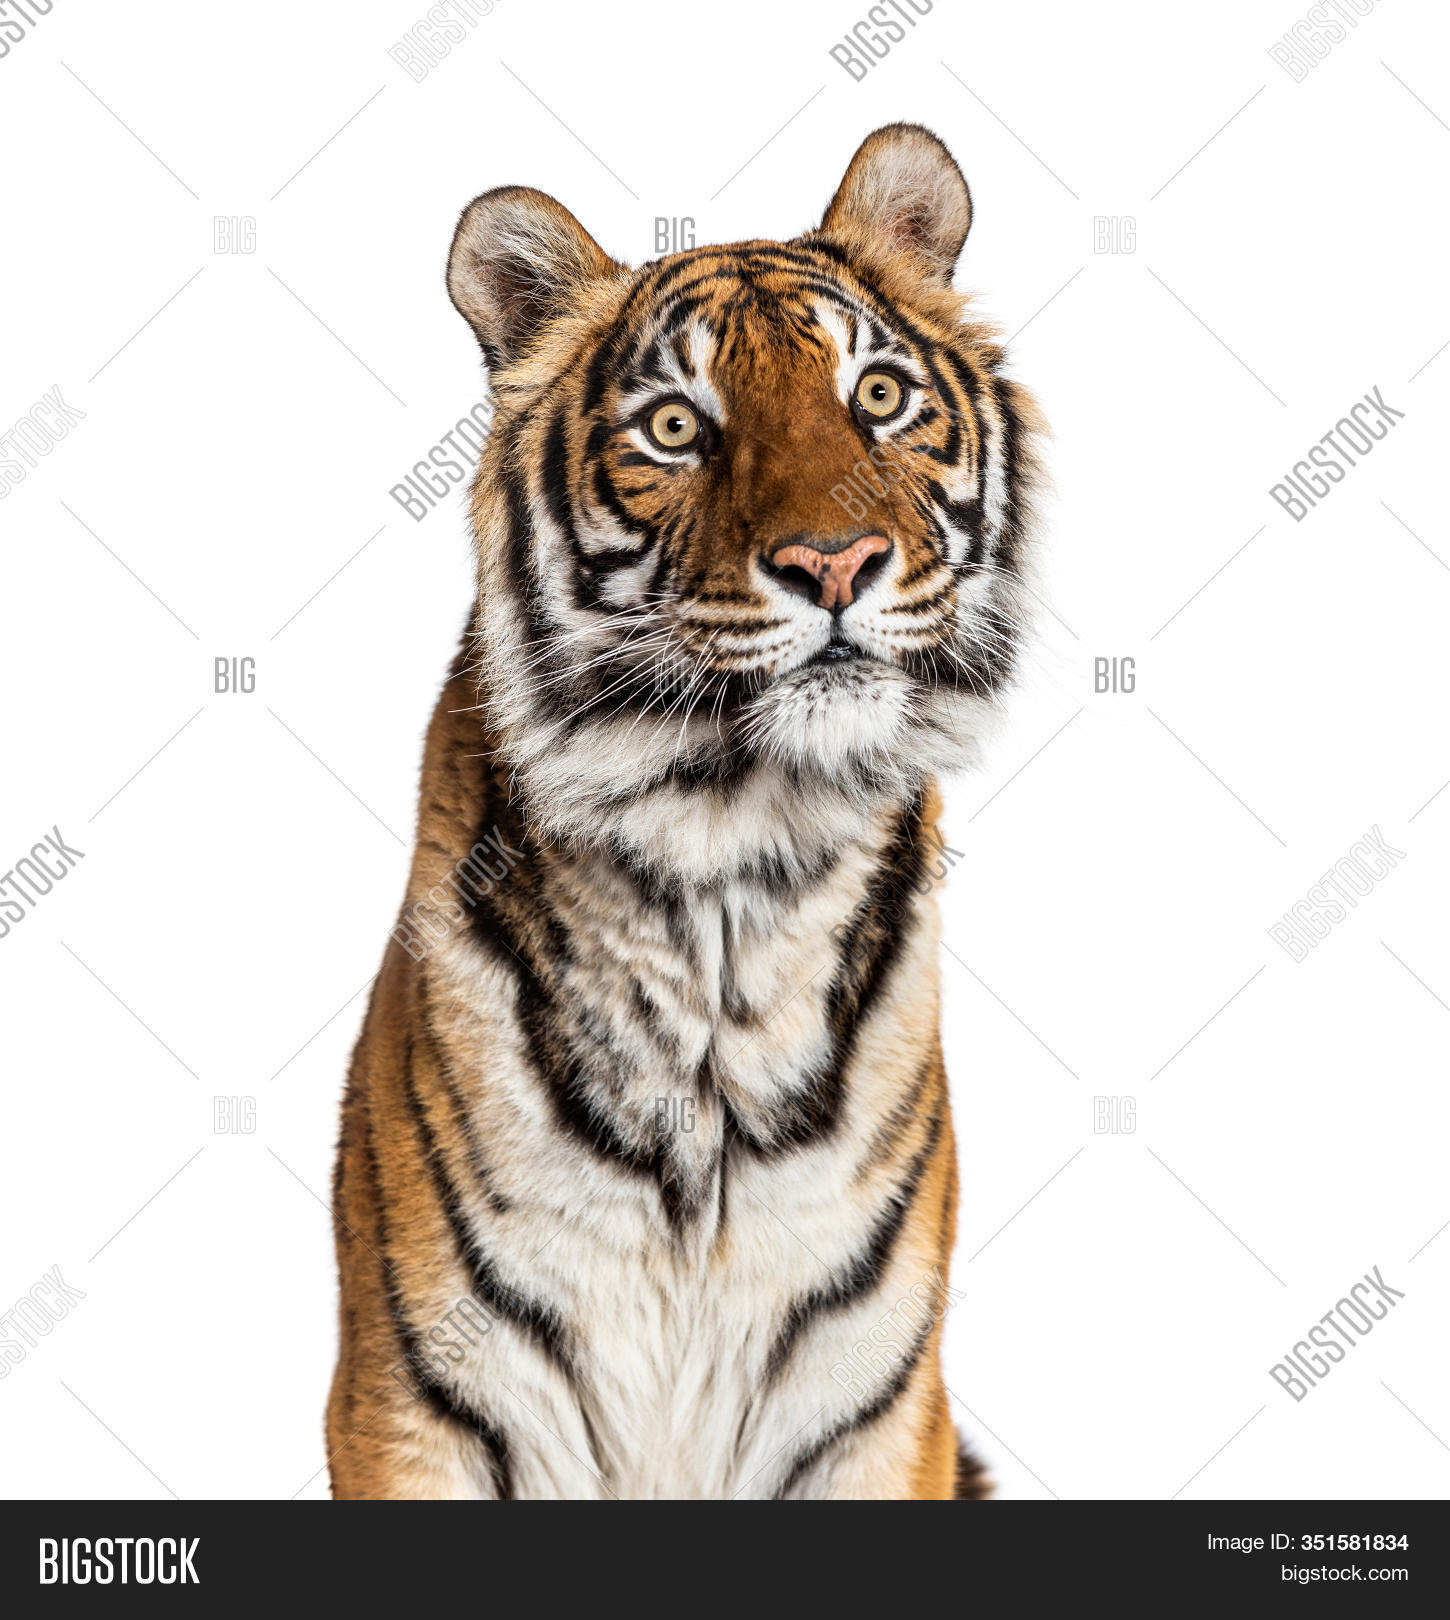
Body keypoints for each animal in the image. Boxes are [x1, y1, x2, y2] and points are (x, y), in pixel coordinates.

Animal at [327, 122, 1045, 1500]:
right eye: (675, 428)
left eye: (879, 398)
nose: (835, 563)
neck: (731, 856)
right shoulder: (416, 1401)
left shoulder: (874, 1409)